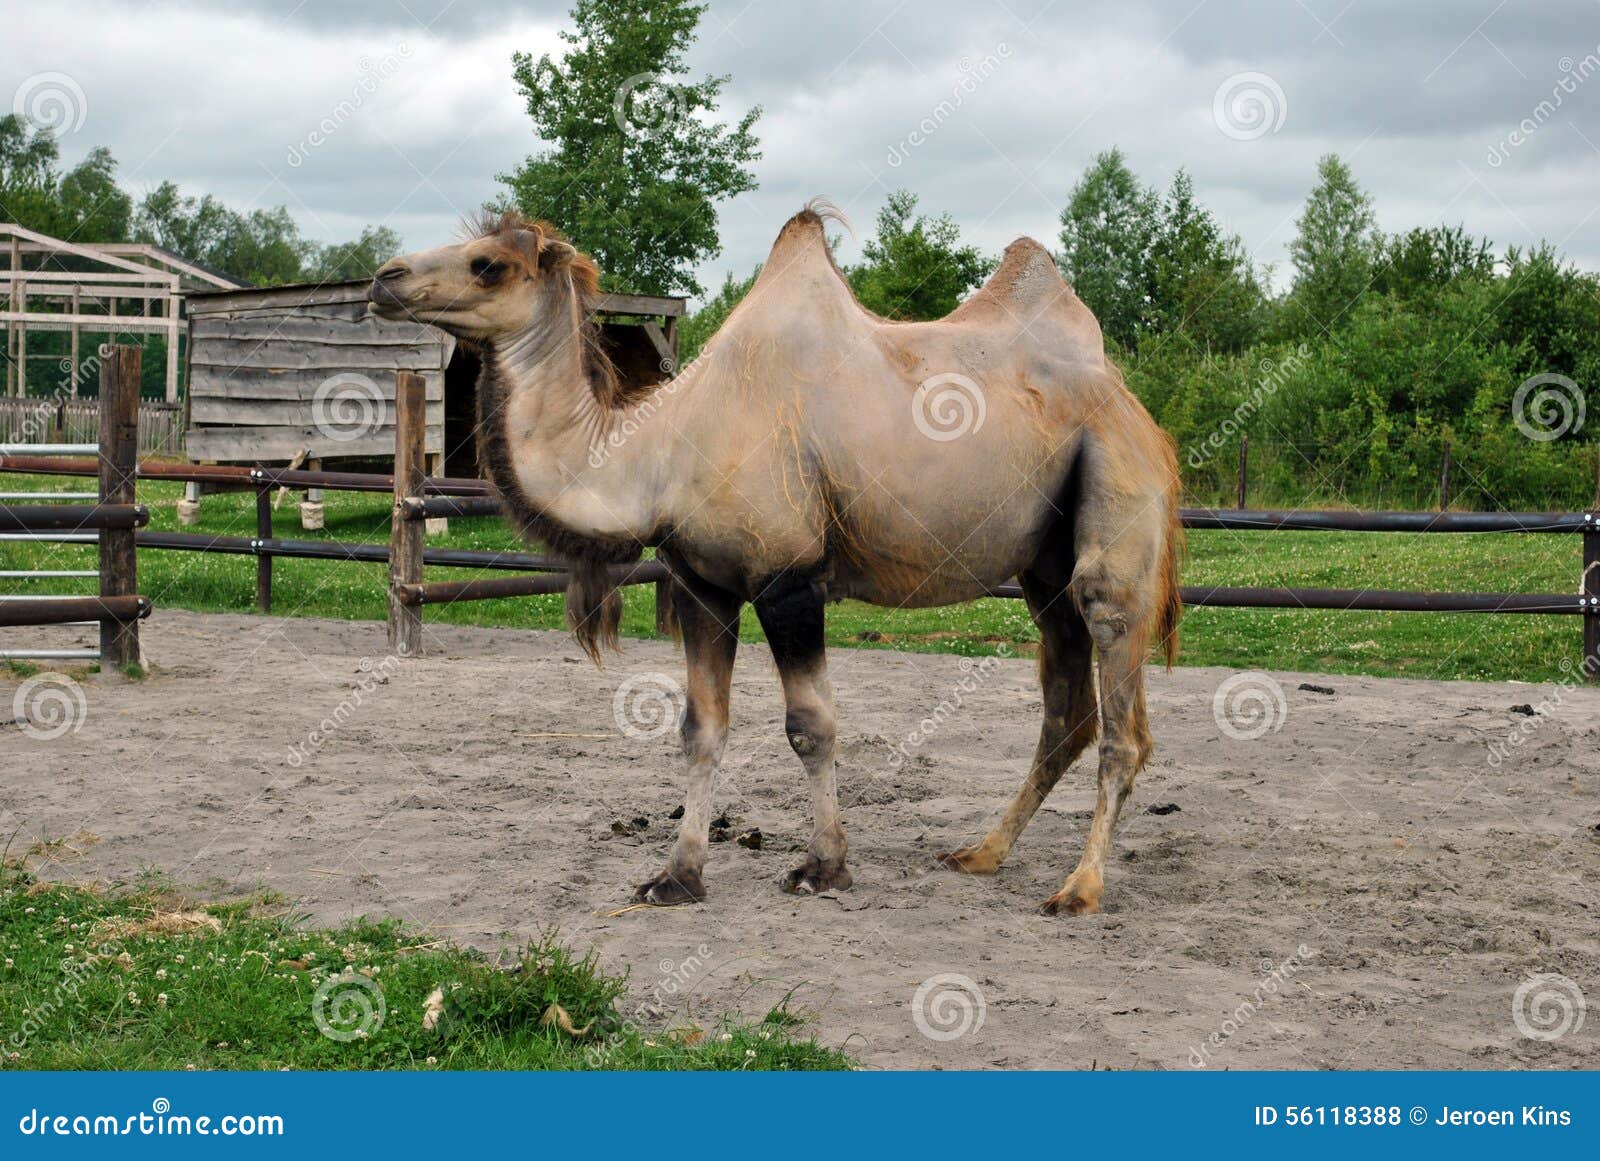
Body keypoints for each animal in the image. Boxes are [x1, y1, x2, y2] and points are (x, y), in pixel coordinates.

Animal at [368, 200, 1183, 916]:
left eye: (489, 265)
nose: (384, 277)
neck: (658, 454)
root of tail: (1132, 405)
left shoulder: (789, 579)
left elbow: (810, 725)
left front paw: (823, 866)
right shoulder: (702, 584)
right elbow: (701, 728)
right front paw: (676, 877)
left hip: (1113, 493)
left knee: (1119, 712)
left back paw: (1079, 889)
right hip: (1042, 563)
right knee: (1067, 709)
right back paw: (982, 852)